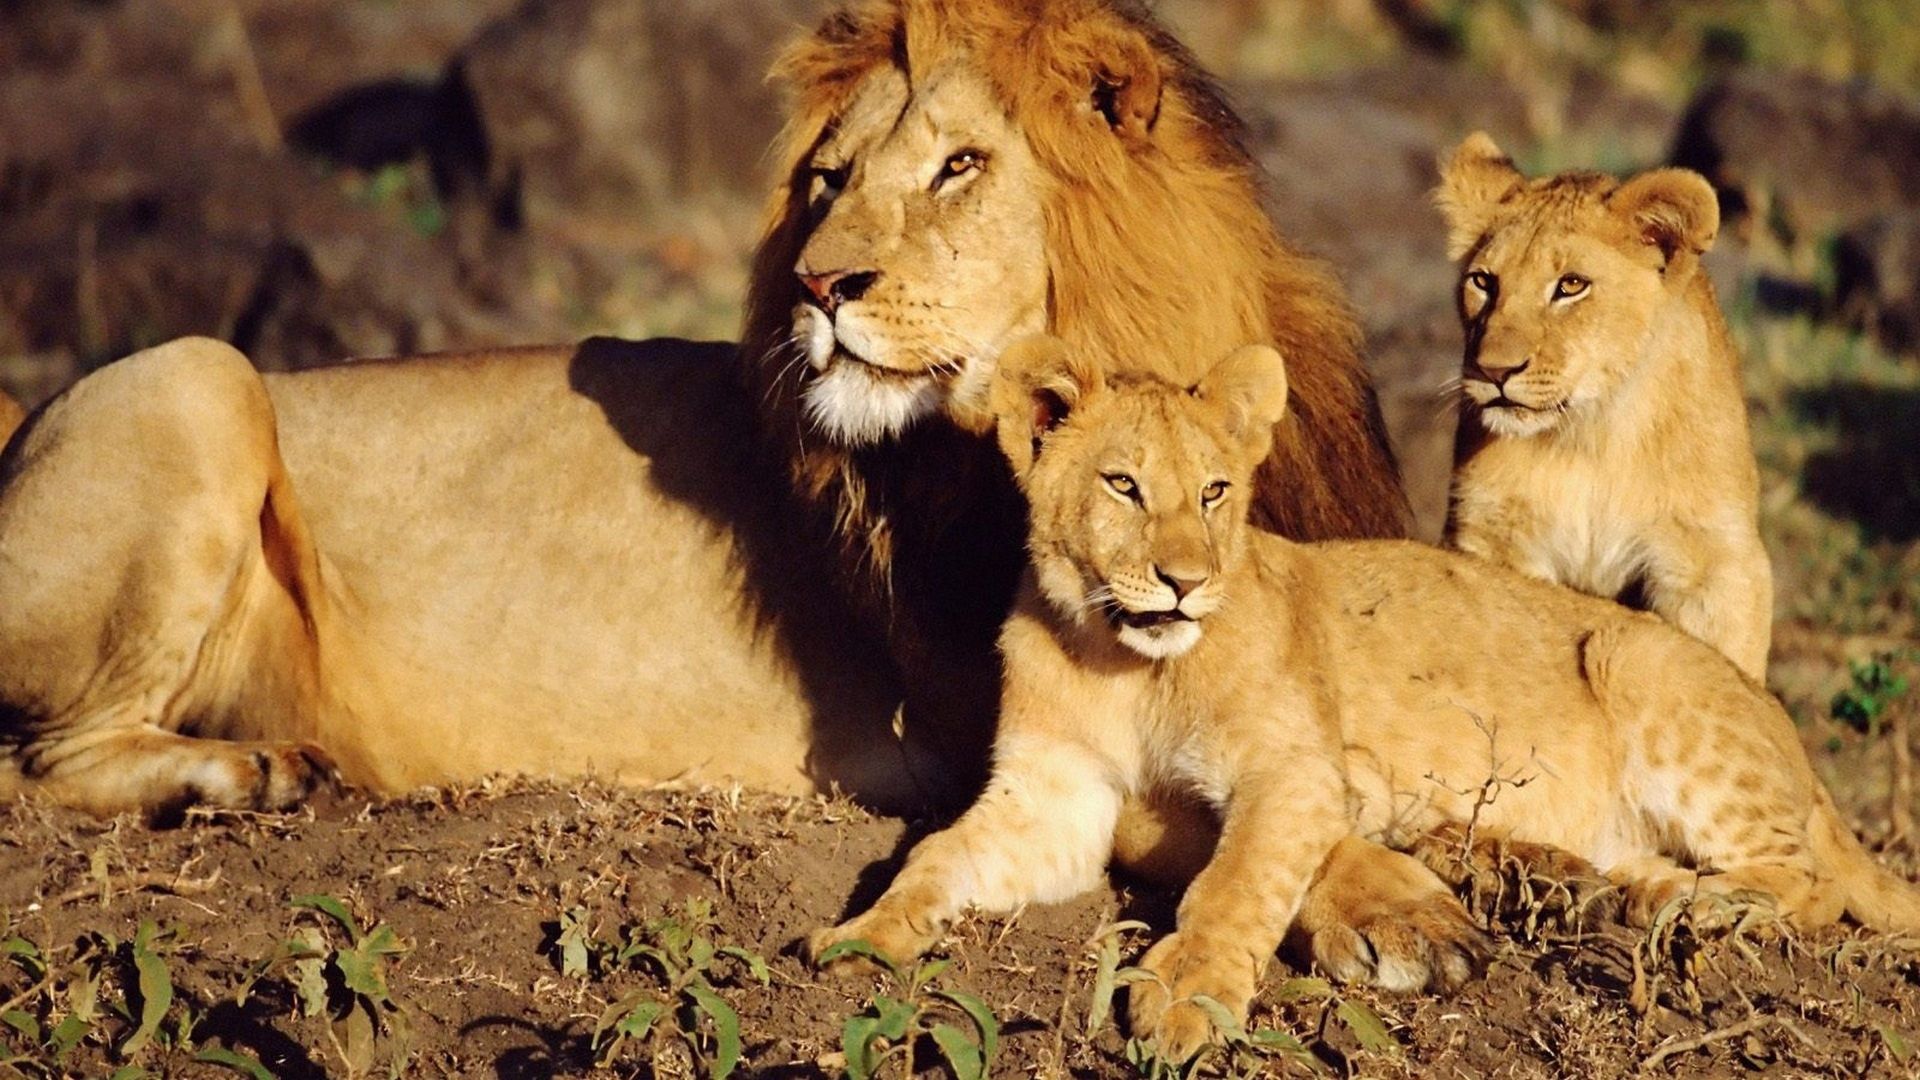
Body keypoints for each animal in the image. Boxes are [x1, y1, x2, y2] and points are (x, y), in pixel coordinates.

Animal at [810, 334, 1920, 1063]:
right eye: (1122, 485)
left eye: (1215, 492)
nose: (1184, 580)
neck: (1121, 660)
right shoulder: (1056, 799)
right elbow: (938, 855)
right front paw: (862, 939)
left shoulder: (1296, 769)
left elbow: (1238, 881)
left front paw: (1187, 998)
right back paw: (1608, 892)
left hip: (1635, 657)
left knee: (1804, 884)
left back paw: (1688, 904)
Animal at [1436, 133, 1773, 679]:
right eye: (1483, 282)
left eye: (1571, 285)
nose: (1493, 372)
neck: (1591, 435)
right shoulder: (1491, 535)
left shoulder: (1714, 558)